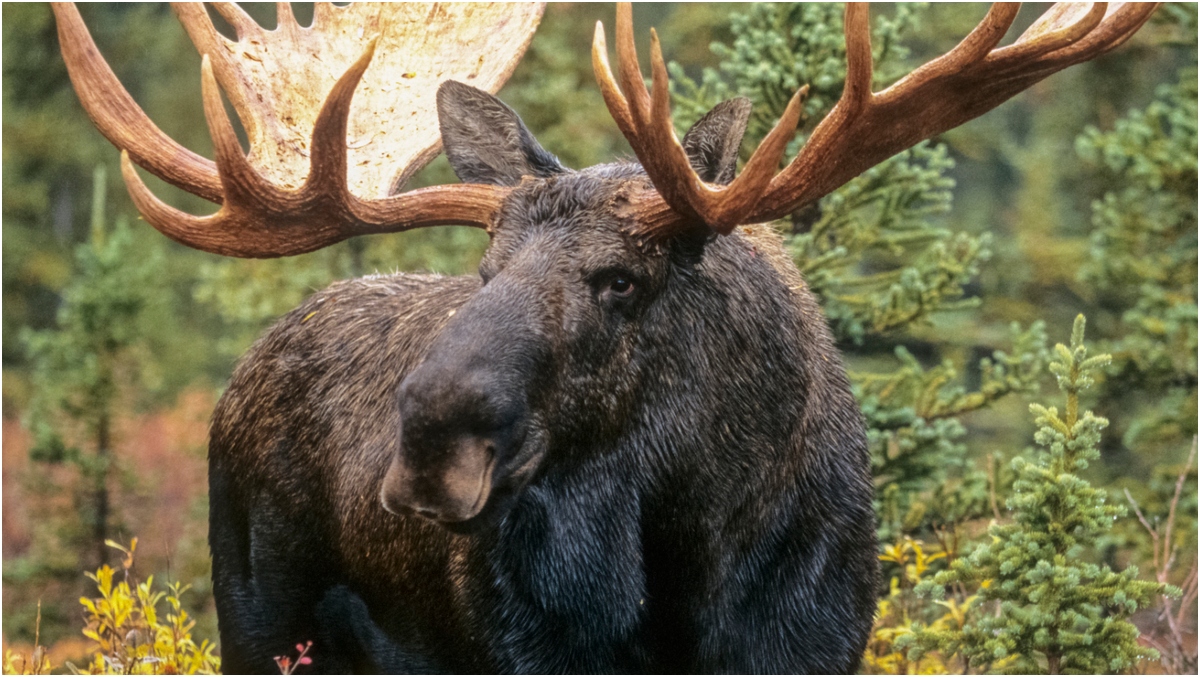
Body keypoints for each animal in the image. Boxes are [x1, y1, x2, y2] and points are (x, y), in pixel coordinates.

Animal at [54, 2, 1157, 673]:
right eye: (486, 270)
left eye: (622, 279)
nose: (427, 447)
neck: (690, 554)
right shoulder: (527, 648)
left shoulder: (817, 640)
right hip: (259, 618)